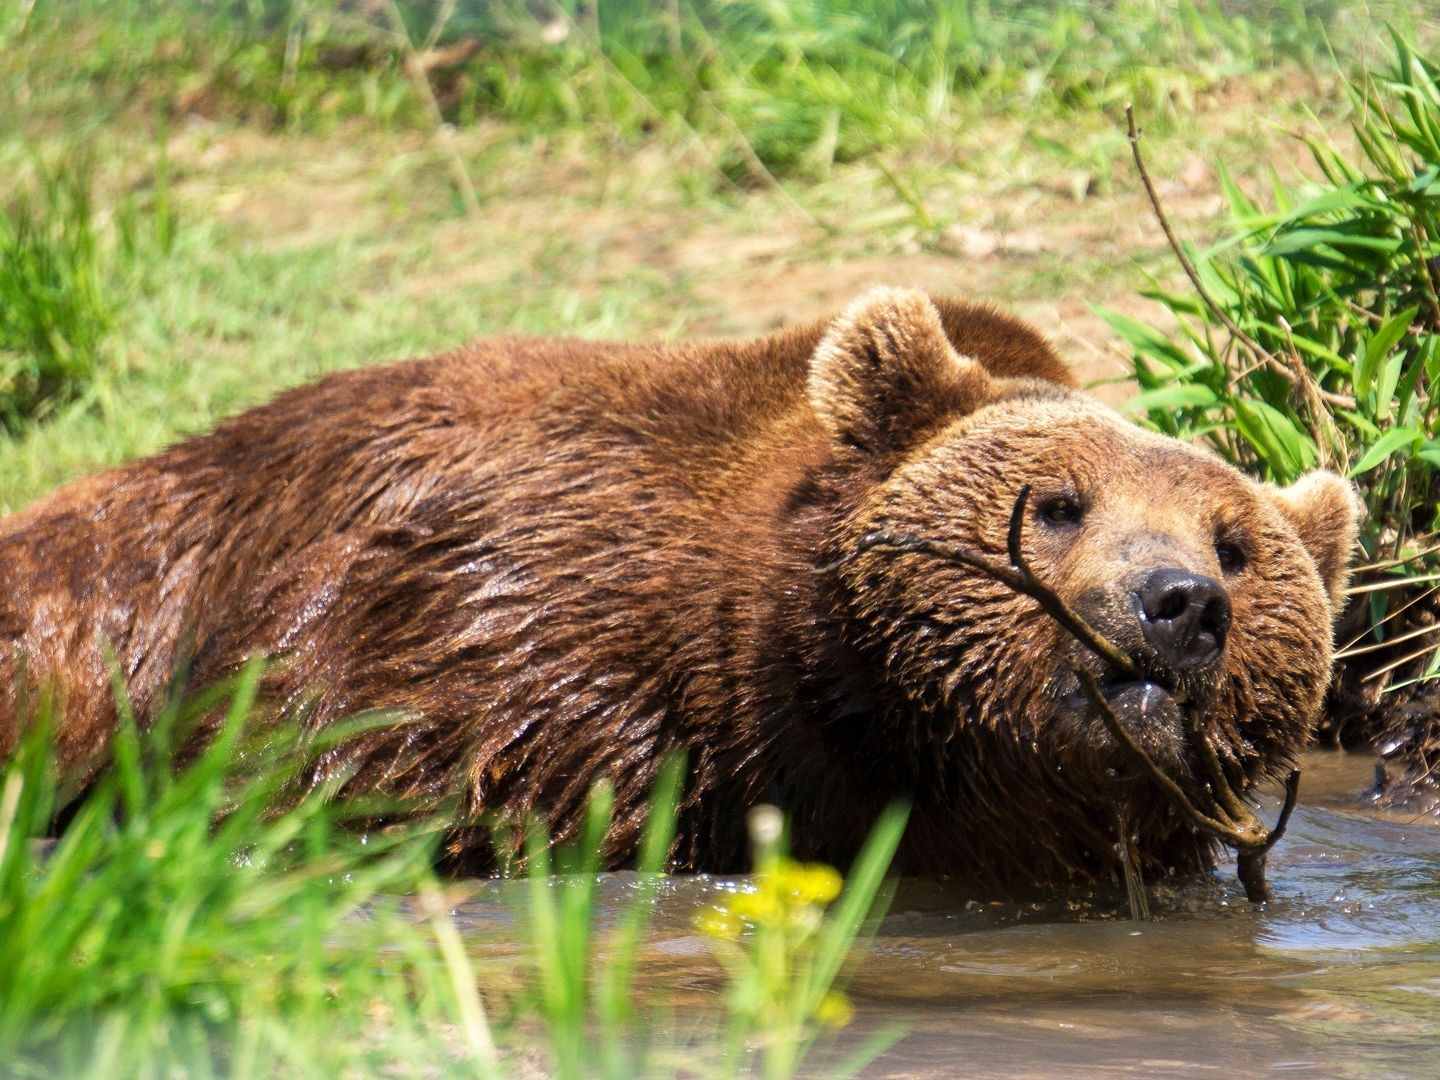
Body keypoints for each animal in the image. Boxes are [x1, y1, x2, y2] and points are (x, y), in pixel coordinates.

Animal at [0, 288, 1360, 892]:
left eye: (1236, 546)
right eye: (1061, 502)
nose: (1178, 603)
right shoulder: (499, 635)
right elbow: (341, 761)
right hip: (103, 588)